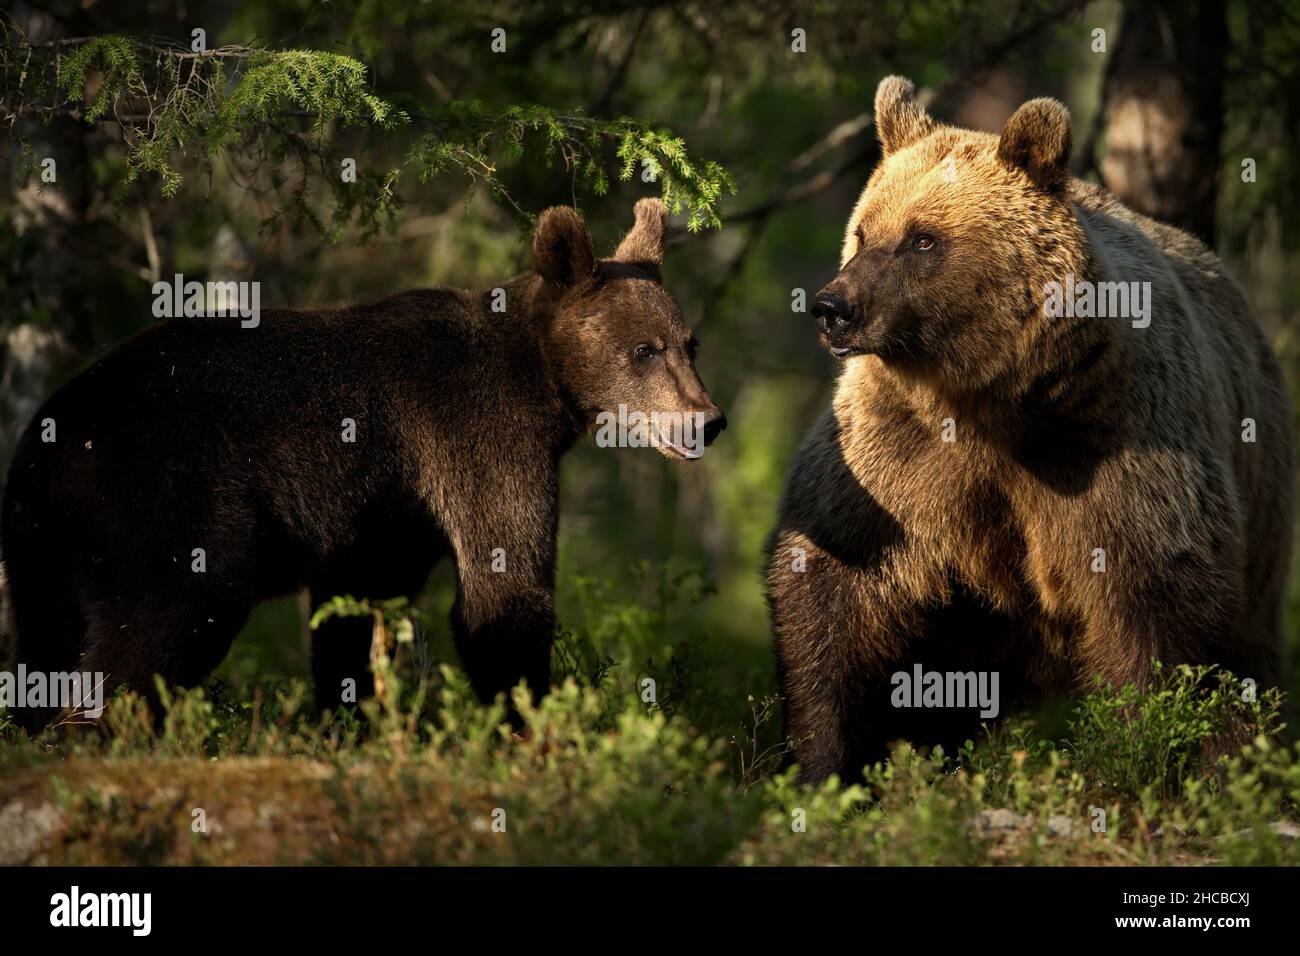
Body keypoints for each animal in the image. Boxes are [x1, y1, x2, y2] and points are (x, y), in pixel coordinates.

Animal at [1, 197, 726, 732]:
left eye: (689, 344)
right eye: (644, 350)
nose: (705, 419)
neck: (544, 382)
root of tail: (49, 438)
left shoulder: (390, 513)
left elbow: (354, 611)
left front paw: (352, 721)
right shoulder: (479, 437)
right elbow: (504, 591)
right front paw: (534, 726)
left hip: (49, 550)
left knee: (46, 649)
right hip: (163, 501)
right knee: (164, 619)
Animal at [765, 76, 1292, 784]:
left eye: (922, 240)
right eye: (864, 231)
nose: (832, 307)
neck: (988, 402)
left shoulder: (1111, 446)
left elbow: (1153, 601)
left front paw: (1138, 754)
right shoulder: (896, 458)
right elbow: (833, 579)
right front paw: (826, 759)